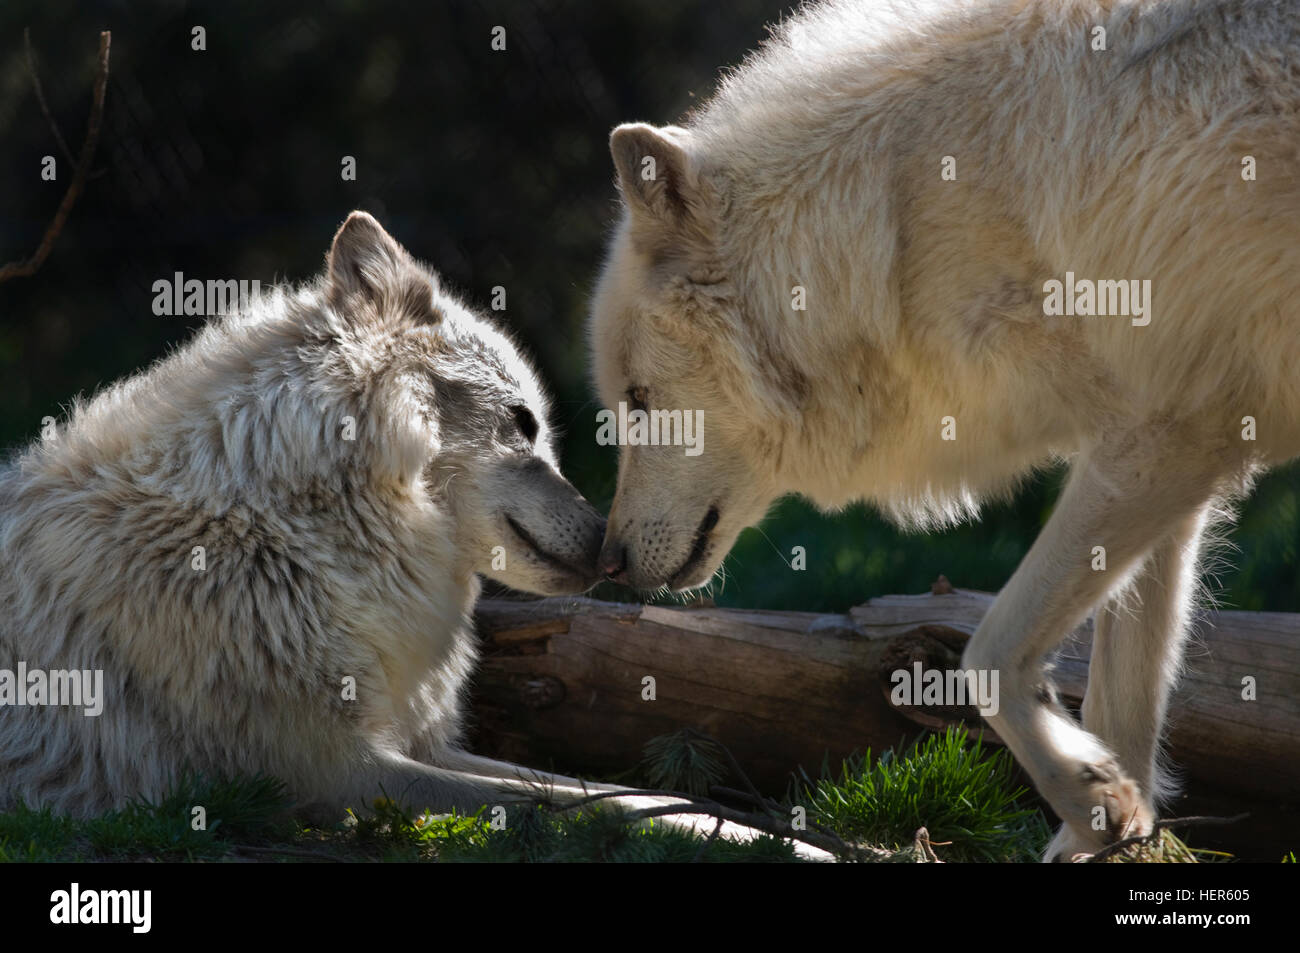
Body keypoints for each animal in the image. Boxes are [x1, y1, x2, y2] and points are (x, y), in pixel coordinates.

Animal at [0, 211, 755, 843]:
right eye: (522, 423)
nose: (609, 546)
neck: (291, 527)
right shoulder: (334, 770)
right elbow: (576, 805)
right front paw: (749, 835)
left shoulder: (423, 742)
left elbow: (600, 789)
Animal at [590, 0, 1300, 860]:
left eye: (637, 399)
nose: (608, 560)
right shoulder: (1165, 448)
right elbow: (1118, 709)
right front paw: (1107, 811)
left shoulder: (1162, 440)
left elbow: (988, 652)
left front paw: (1090, 792)